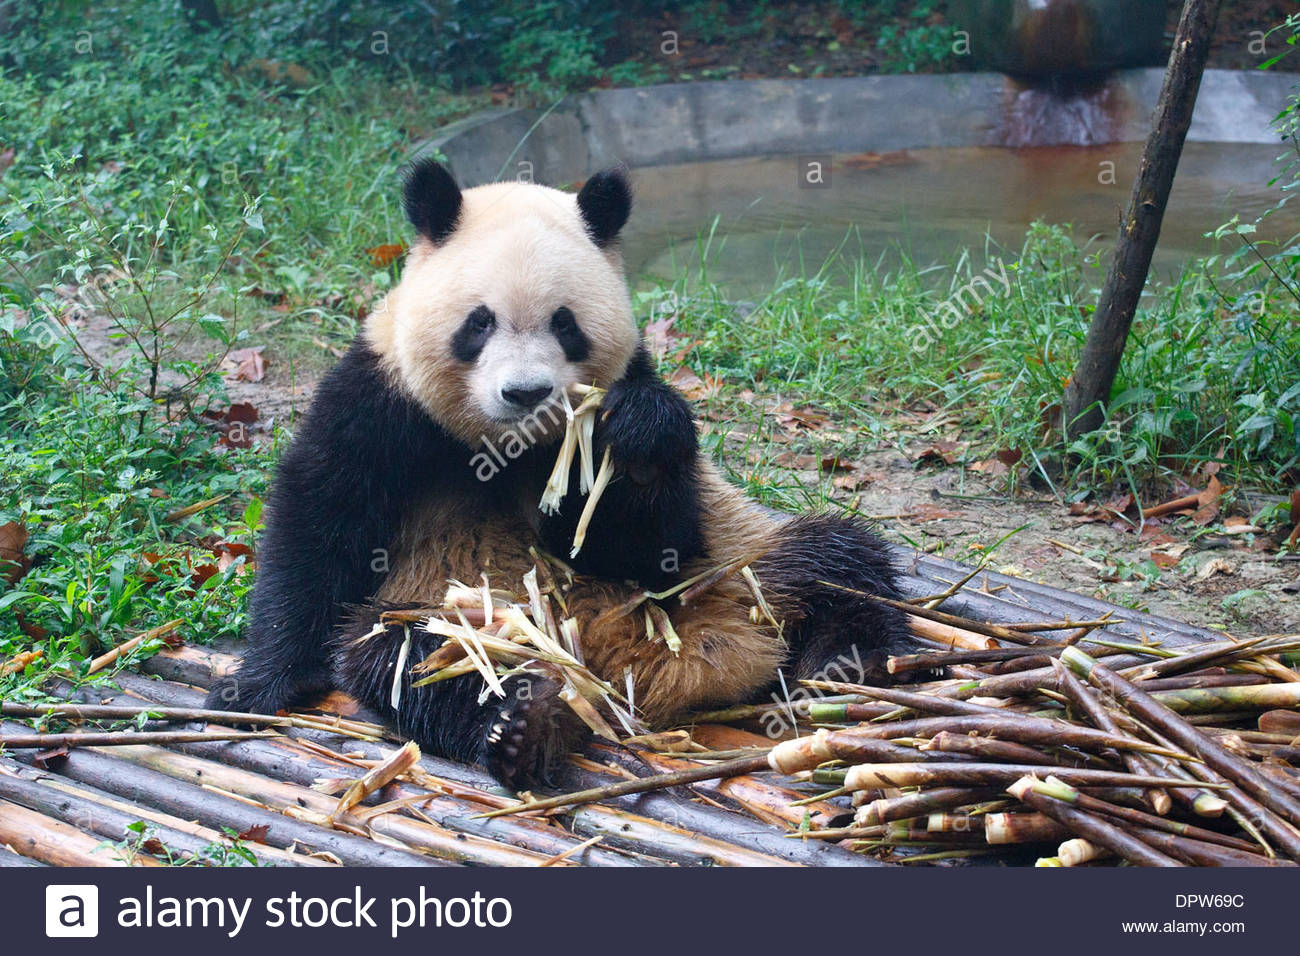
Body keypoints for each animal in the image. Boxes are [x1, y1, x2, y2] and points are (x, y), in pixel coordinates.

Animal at [208, 158, 912, 788]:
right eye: (479, 321)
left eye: (565, 324)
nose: (525, 393)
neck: (502, 446)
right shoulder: (382, 399)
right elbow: (321, 519)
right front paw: (260, 683)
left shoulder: (623, 399)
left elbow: (644, 549)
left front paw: (641, 438)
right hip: (444, 604)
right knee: (414, 657)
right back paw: (525, 725)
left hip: (741, 568)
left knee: (839, 561)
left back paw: (851, 662)